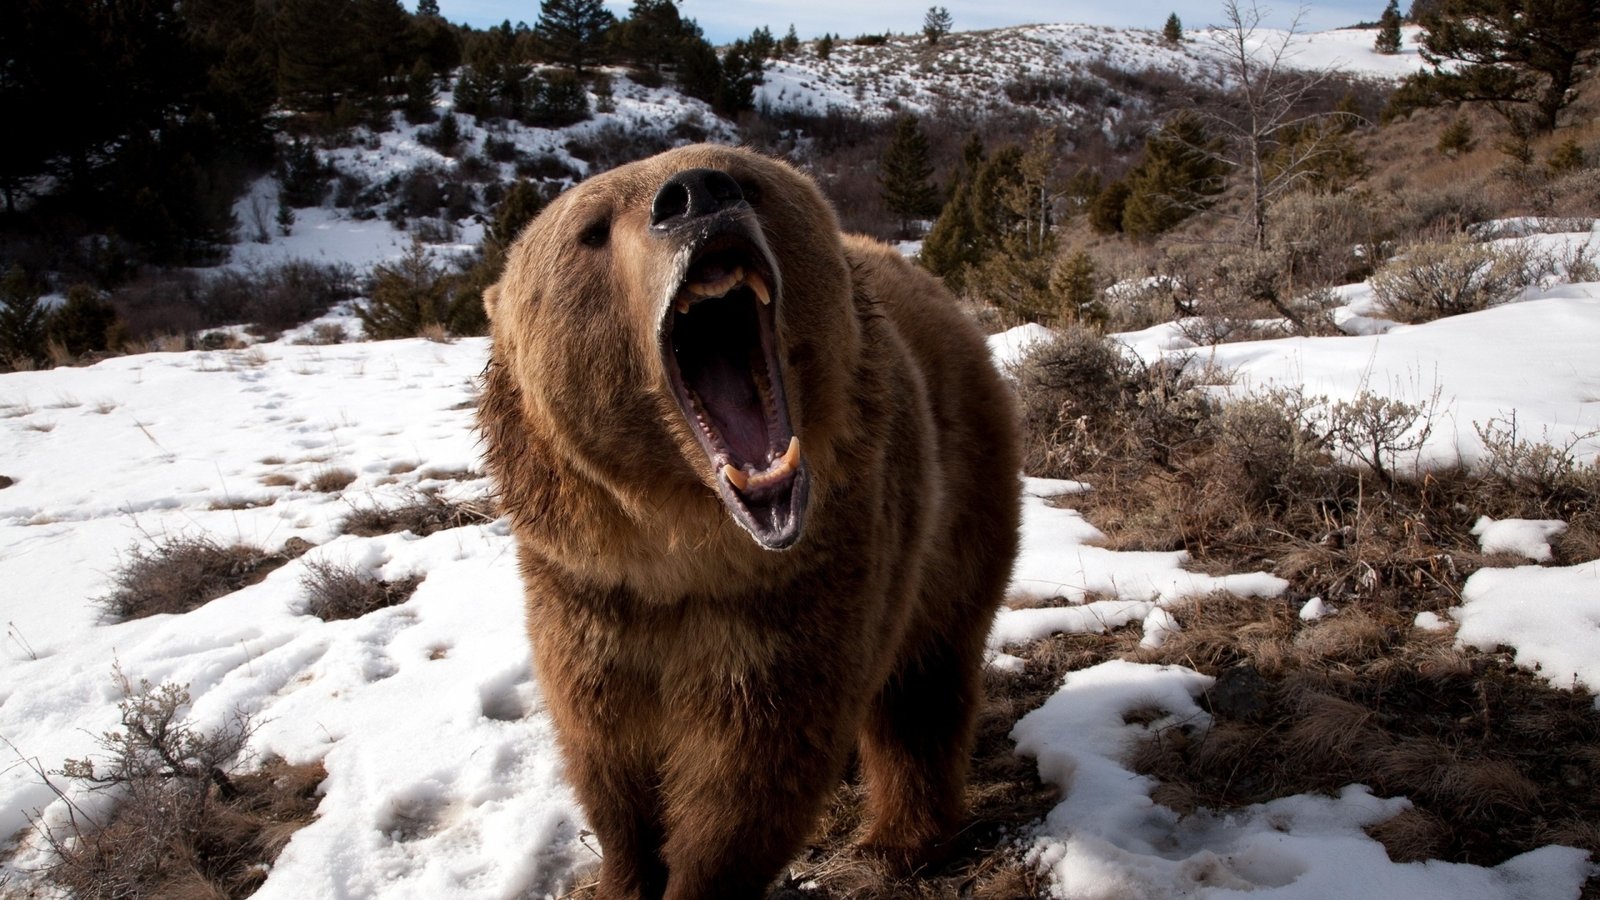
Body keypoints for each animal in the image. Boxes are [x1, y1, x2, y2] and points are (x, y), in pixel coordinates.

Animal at [478, 144, 1020, 899]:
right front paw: (623, 872)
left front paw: (698, 874)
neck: (682, 548)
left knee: (924, 679)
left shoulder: (797, 590)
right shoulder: (587, 592)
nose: (695, 195)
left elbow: (751, 772)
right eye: (590, 229)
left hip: (958, 496)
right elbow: (608, 757)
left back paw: (898, 840)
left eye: (745, 178)